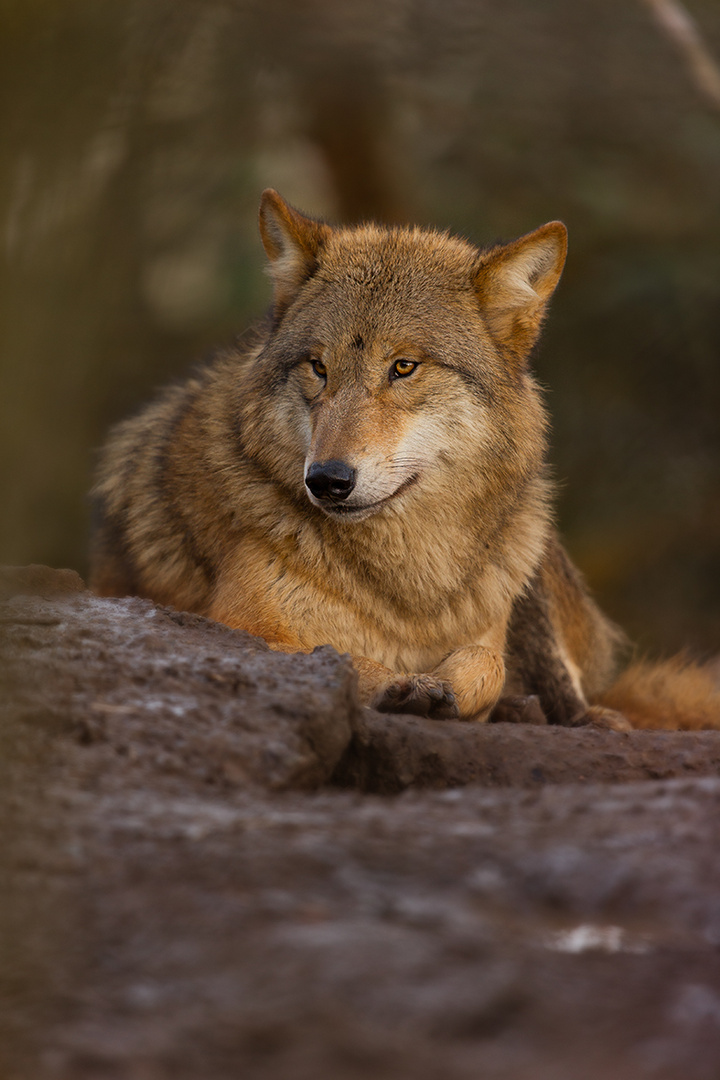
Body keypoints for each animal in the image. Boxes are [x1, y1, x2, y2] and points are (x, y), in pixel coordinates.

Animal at [90, 194, 720, 734]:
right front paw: (400, 683)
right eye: (319, 367)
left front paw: (455, 689)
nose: (327, 481)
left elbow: (485, 664)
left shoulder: (485, 630)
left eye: (404, 367)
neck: (407, 593)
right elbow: (335, 653)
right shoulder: (241, 623)